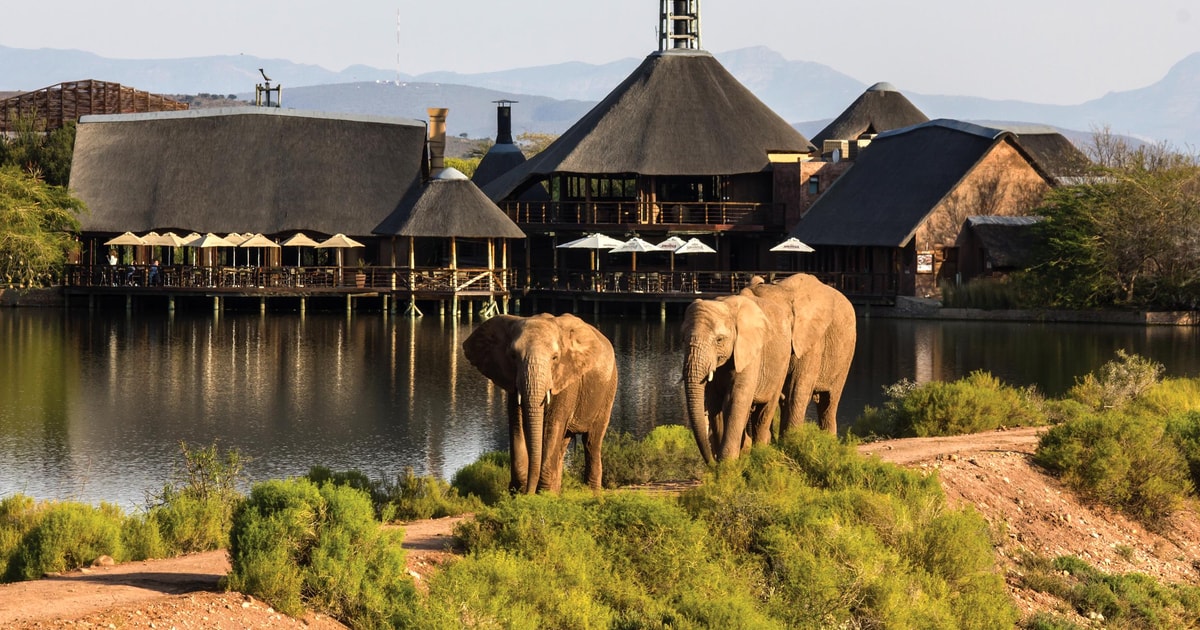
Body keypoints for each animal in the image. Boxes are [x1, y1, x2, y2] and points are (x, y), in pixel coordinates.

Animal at [462, 312, 617, 494]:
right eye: (513, 356)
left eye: (555, 358)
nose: (527, 492)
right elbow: (517, 424)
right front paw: (519, 492)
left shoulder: (566, 379)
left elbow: (553, 426)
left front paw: (542, 494)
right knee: (564, 443)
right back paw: (557, 491)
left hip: (609, 388)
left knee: (591, 441)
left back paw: (591, 493)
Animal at [681, 293, 794, 464]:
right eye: (683, 339)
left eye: (719, 340)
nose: (711, 462)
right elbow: (715, 403)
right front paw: (721, 462)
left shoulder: (749, 353)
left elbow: (735, 399)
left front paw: (727, 462)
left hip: (783, 362)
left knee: (765, 411)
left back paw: (759, 452)